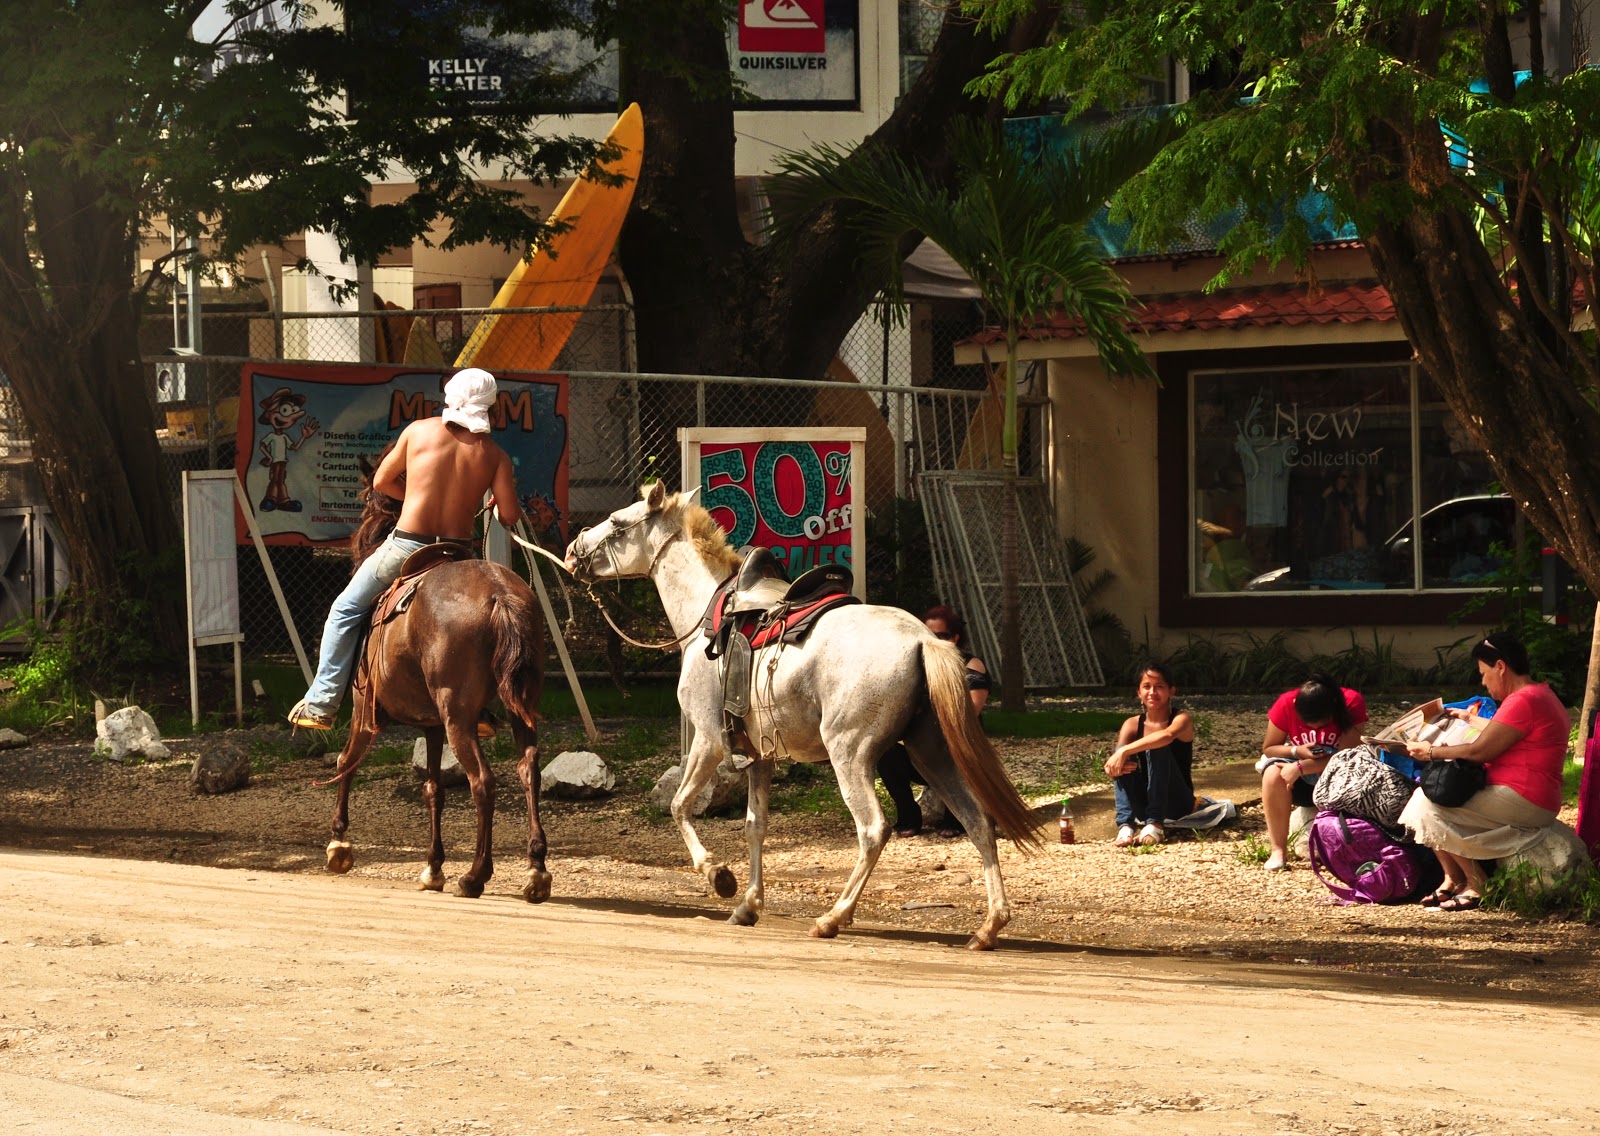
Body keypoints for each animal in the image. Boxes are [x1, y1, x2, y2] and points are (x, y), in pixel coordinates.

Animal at [318, 458, 549, 903]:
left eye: (367, 499)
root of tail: (498, 593)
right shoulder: (432, 725)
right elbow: (433, 790)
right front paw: (433, 866)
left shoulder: (362, 710)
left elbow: (347, 762)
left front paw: (339, 844)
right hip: (517, 707)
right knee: (528, 769)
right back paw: (536, 871)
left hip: (457, 716)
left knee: (483, 782)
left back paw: (476, 875)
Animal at [565, 481, 1040, 949]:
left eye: (617, 522)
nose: (572, 550)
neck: (706, 617)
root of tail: (925, 640)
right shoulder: (759, 757)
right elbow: (755, 825)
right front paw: (748, 906)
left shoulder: (708, 740)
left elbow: (680, 805)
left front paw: (719, 876)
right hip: (931, 751)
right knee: (978, 821)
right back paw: (989, 926)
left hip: (851, 754)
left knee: (874, 829)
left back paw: (834, 917)